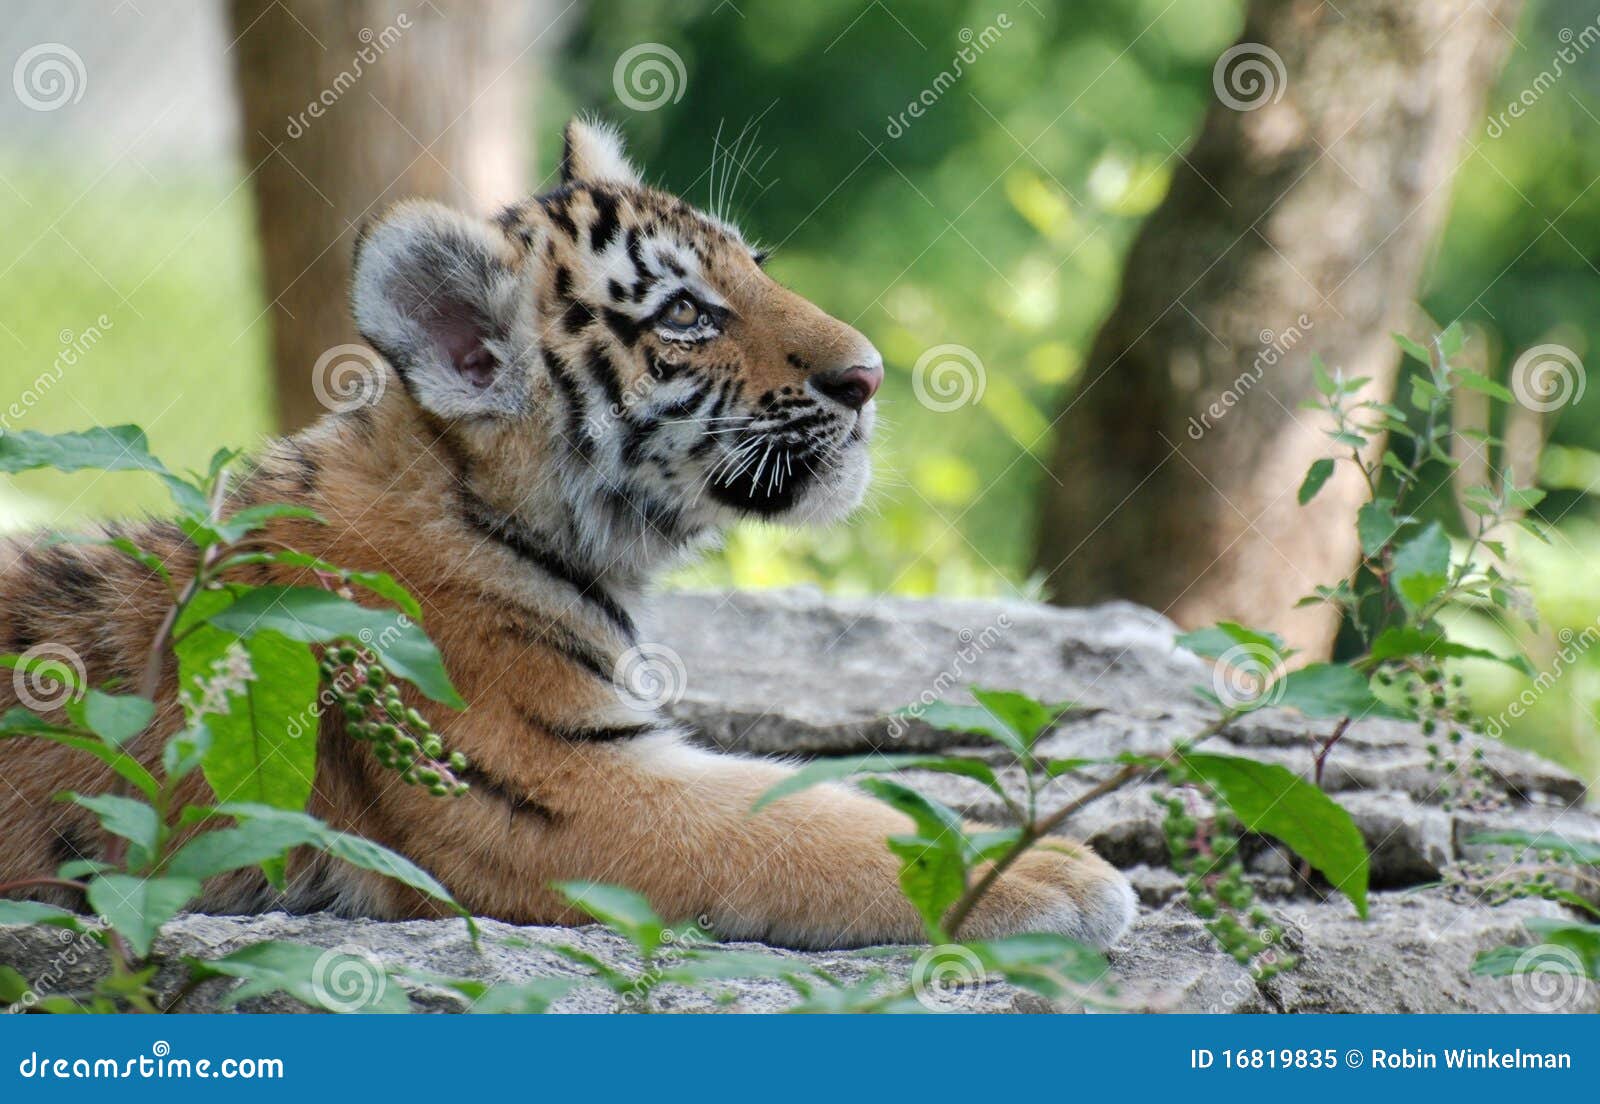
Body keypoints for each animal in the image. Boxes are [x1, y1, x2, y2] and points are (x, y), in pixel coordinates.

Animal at [0, 119, 1135, 951]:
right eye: (685, 314)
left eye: (756, 264)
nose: (870, 377)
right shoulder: (568, 791)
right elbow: (805, 821)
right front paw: (1055, 872)